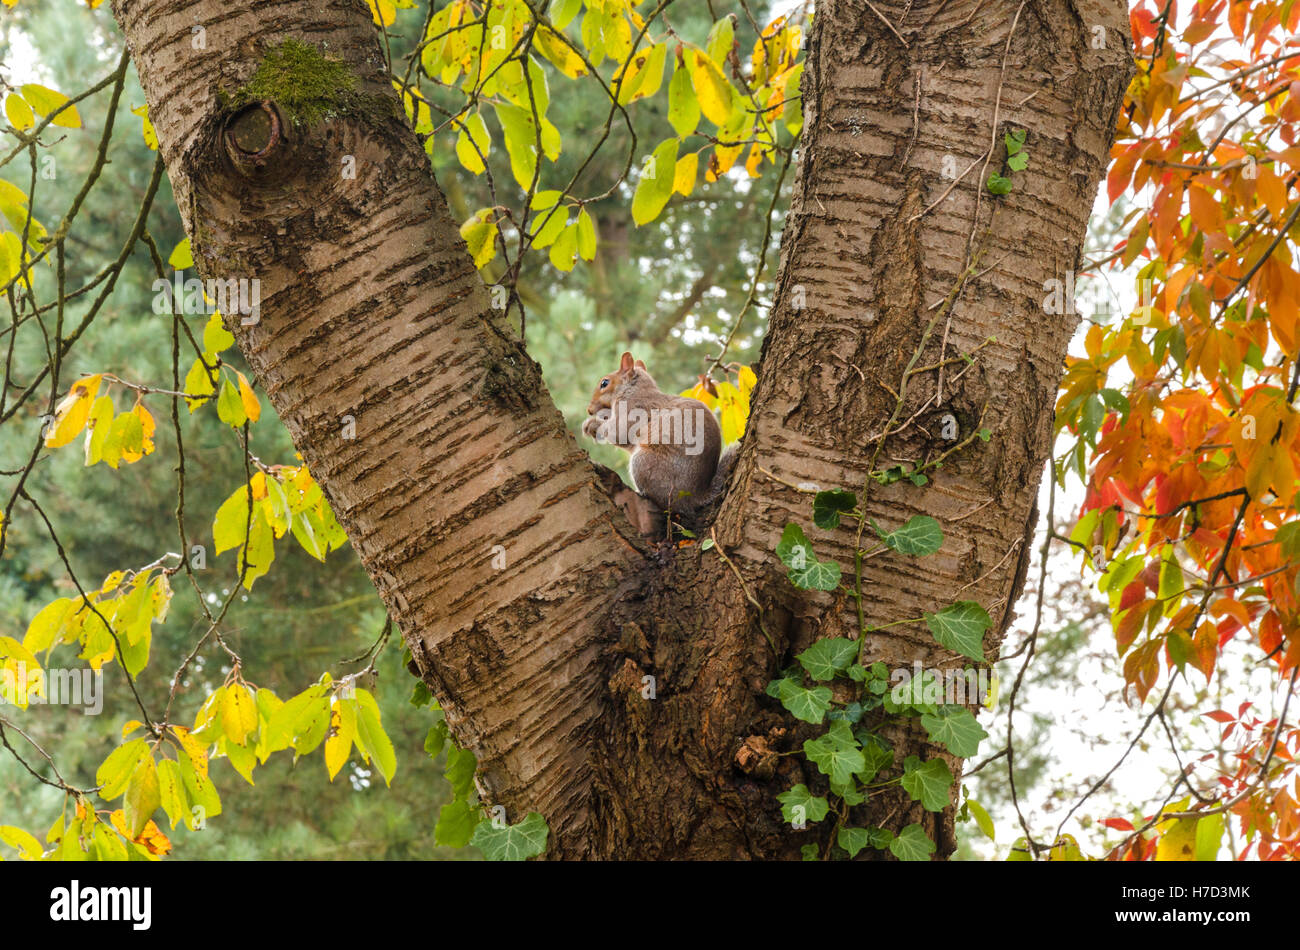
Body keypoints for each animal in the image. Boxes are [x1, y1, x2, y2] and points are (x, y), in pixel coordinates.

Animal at [582, 352, 736, 533]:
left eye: (604, 383)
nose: (589, 410)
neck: (633, 389)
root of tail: (695, 496)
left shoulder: (633, 409)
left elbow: (617, 432)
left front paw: (592, 424)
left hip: (643, 463)